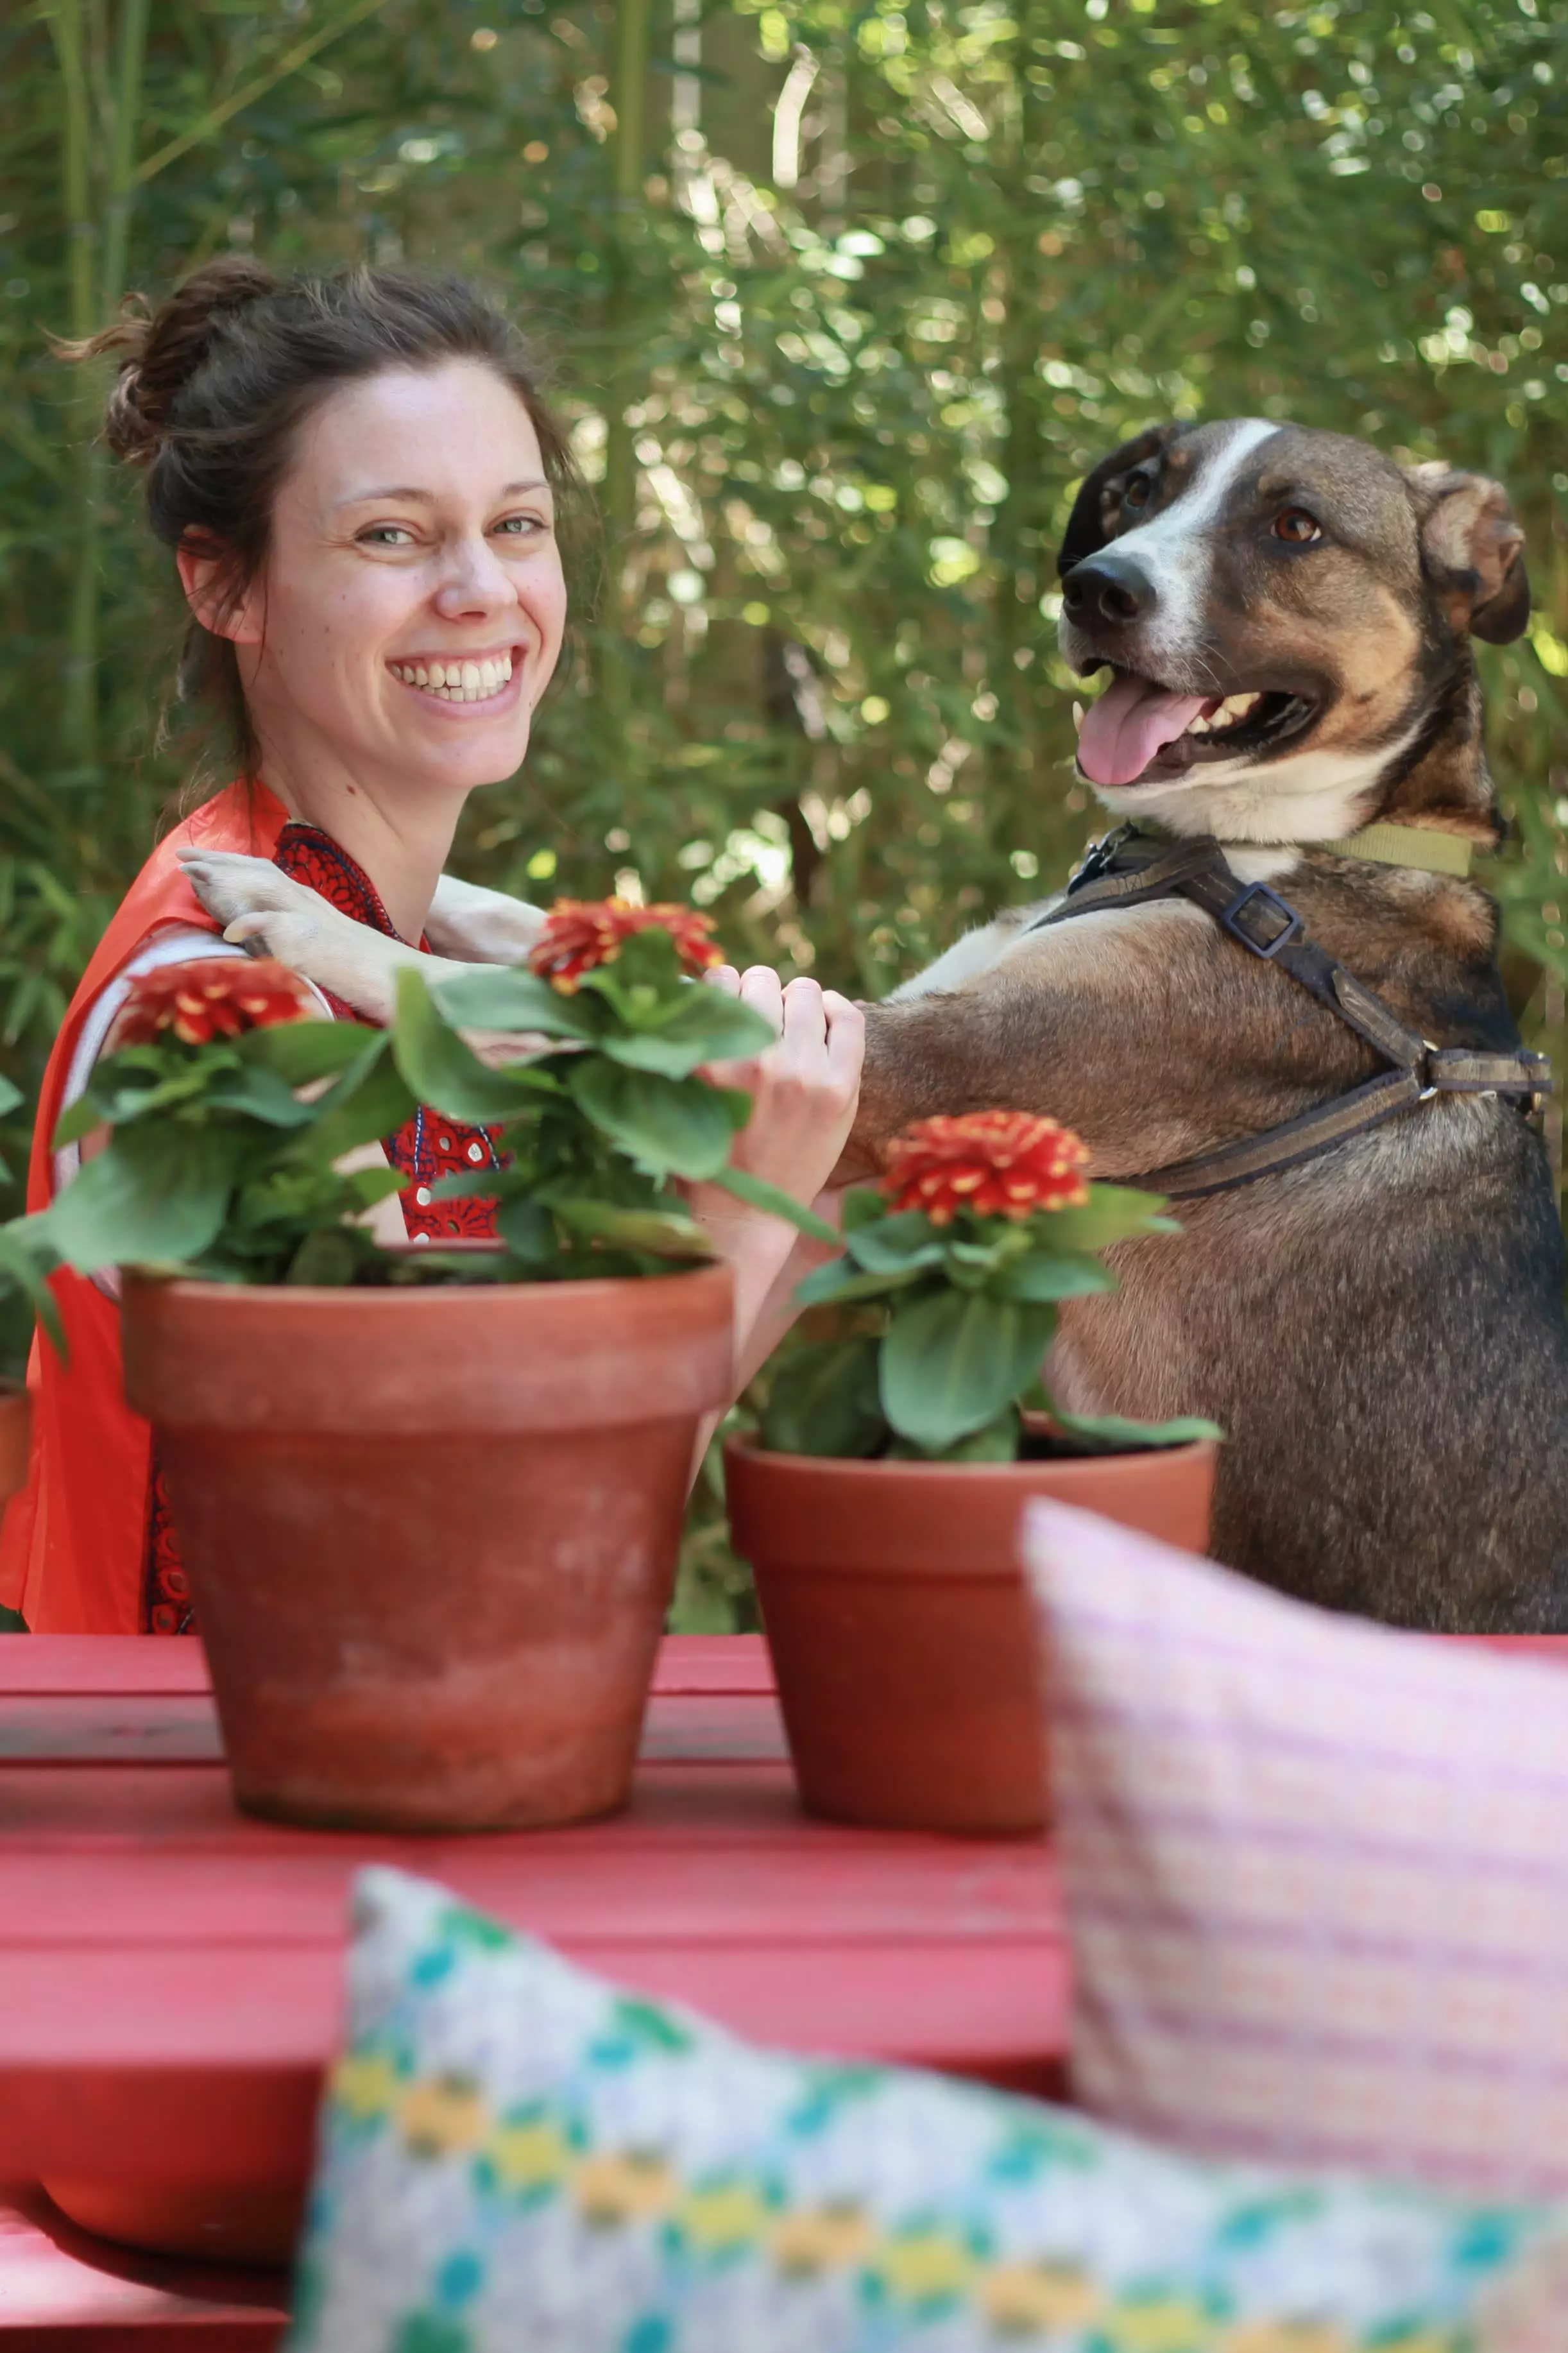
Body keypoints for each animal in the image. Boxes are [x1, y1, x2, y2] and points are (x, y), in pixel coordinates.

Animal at [176, 424, 1563, 1628]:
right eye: (1134, 491)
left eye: (1292, 526)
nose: (1094, 589)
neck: (1280, 851)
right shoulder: (855, 1025)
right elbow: (556, 948)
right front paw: (404, 889)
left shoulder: (910, 1076)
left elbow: (517, 1001)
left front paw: (304, 914)